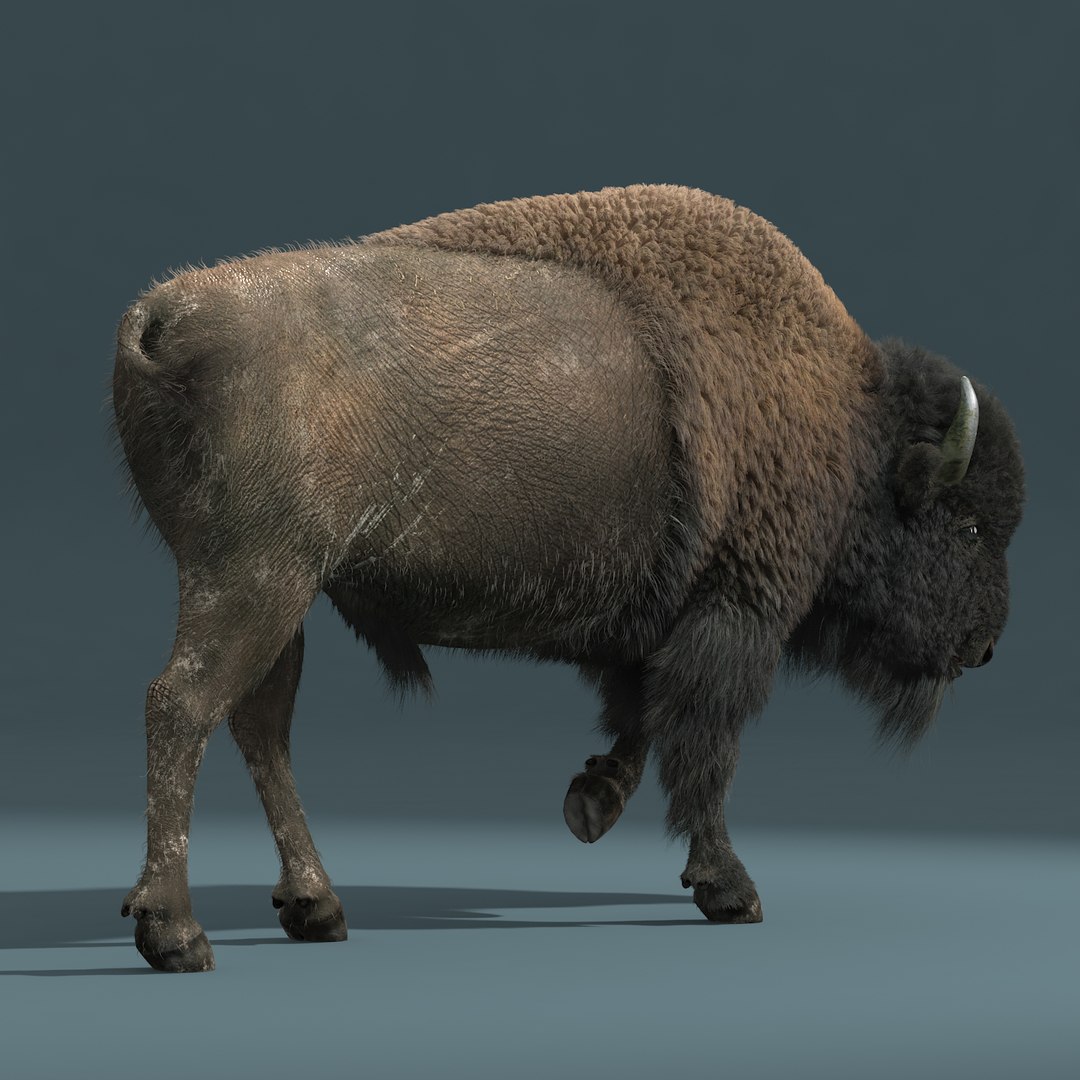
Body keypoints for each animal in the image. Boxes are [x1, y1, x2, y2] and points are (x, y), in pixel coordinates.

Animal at [111, 184, 1024, 972]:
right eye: (970, 525)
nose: (985, 648)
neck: (846, 424)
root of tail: (158, 316)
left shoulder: (657, 625)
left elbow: (643, 719)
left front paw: (591, 804)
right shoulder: (735, 615)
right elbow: (705, 747)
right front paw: (730, 889)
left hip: (276, 591)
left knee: (259, 725)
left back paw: (316, 909)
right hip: (255, 578)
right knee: (183, 706)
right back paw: (177, 935)